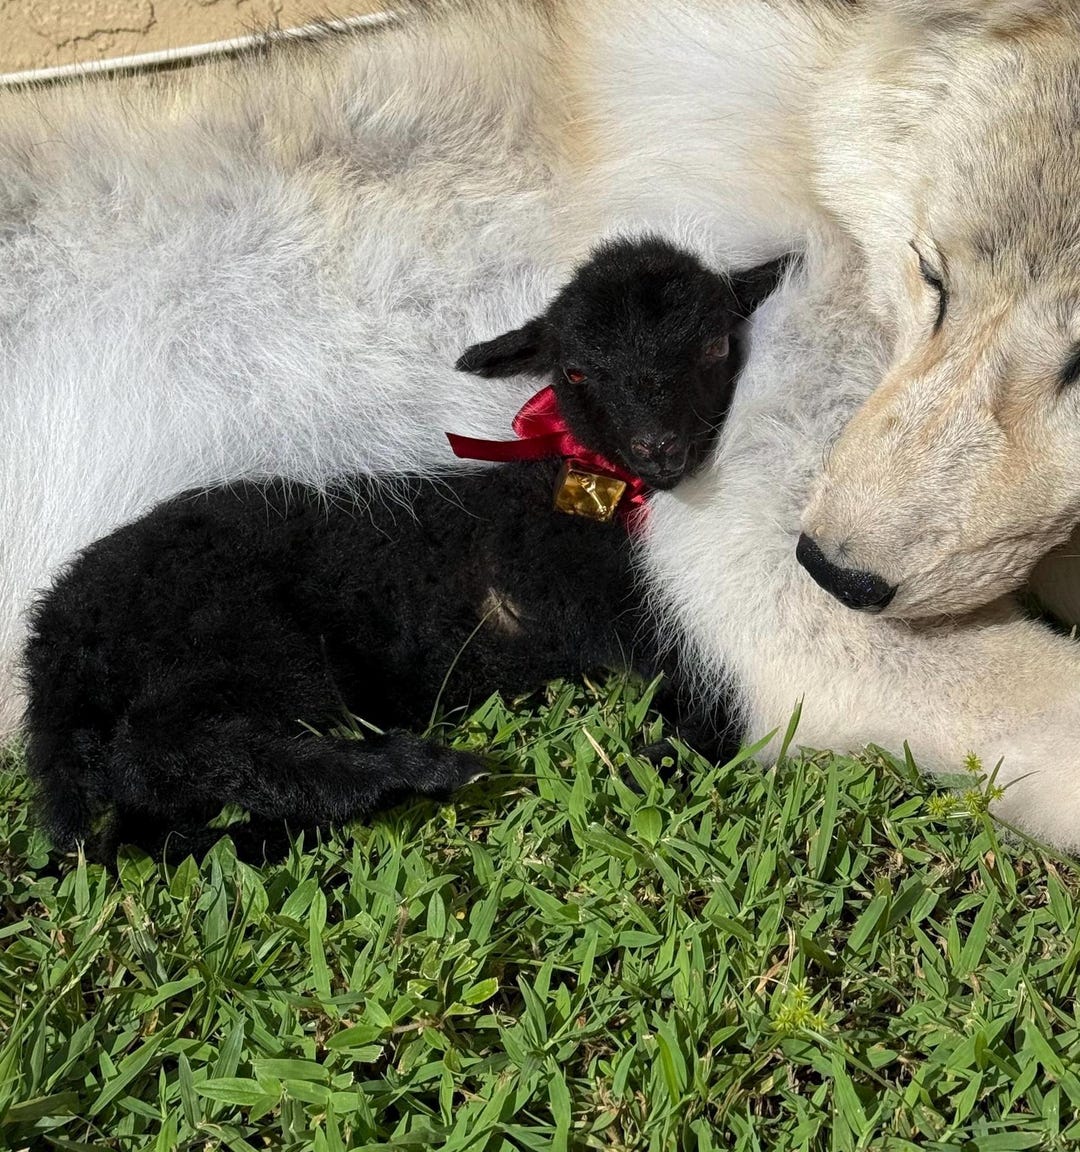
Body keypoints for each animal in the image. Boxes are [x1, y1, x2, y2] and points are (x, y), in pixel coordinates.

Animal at [21, 237, 782, 862]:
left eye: (716, 348)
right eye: (575, 373)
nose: (659, 447)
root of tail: (56, 632)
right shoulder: (599, 606)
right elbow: (713, 696)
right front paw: (667, 755)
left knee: (140, 812)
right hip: (238, 637)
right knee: (168, 746)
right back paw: (415, 773)